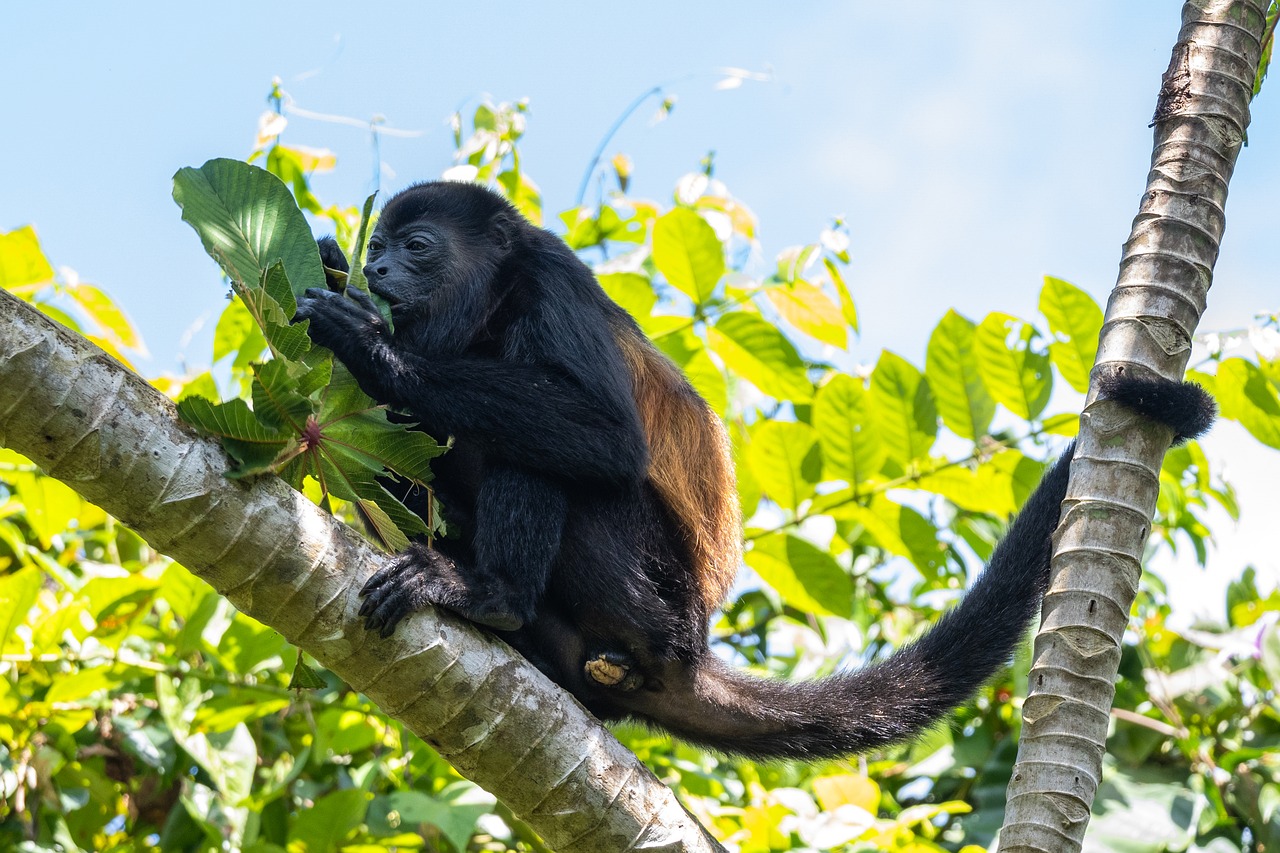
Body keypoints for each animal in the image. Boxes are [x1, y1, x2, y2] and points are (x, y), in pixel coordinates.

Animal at [293, 181, 1215, 760]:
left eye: (415, 247)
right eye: (380, 245)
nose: (378, 269)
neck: (480, 302)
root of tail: (691, 648)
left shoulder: (548, 286)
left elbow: (604, 436)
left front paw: (370, 346)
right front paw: (330, 270)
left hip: (648, 595)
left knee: (554, 456)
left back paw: (488, 594)